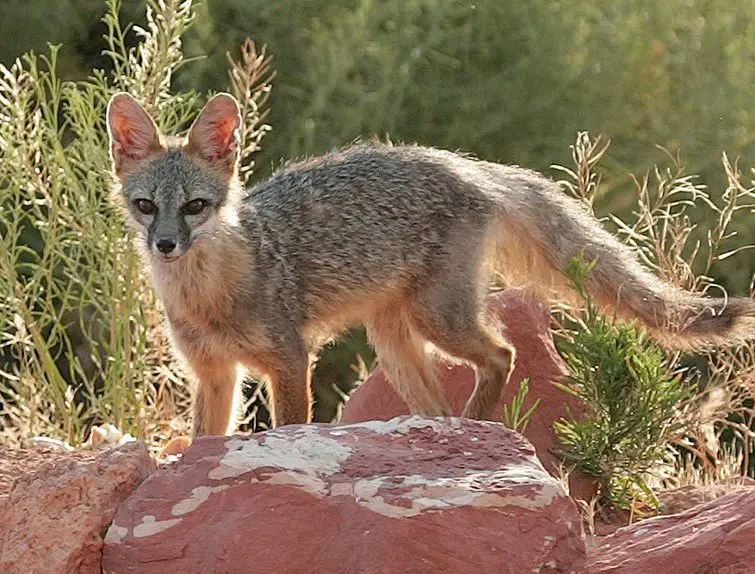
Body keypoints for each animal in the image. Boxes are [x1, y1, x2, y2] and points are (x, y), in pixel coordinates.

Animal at [106, 91, 755, 438]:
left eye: (195, 206)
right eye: (146, 206)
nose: (166, 245)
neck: (207, 298)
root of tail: (463, 162)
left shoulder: (289, 360)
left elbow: (291, 425)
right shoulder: (215, 374)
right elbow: (201, 444)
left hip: (437, 322)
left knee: (503, 354)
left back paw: (477, 425)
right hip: (395, 344)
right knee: (444, 398)